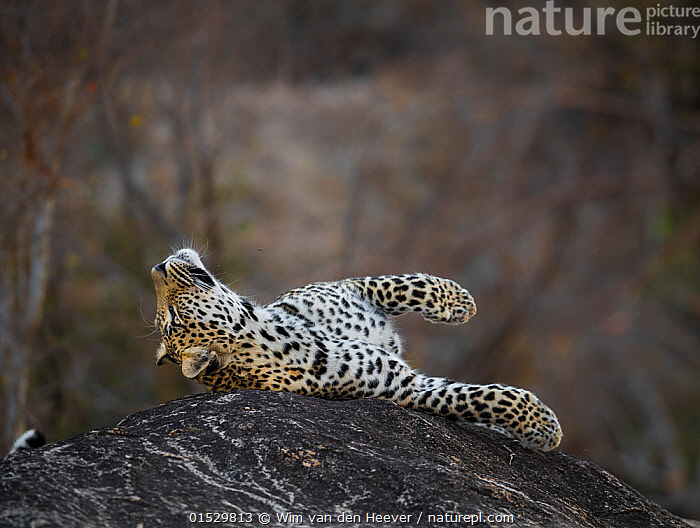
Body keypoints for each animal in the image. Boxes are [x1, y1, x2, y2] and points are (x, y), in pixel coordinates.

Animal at [151, 248, 562, 451]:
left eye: (166, 318)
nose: (158, 266)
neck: (276, 327)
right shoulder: (409, 389)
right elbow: (486, 396)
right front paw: (542, 427)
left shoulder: (351, 289)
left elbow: (405, 283)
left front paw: (459, 301)